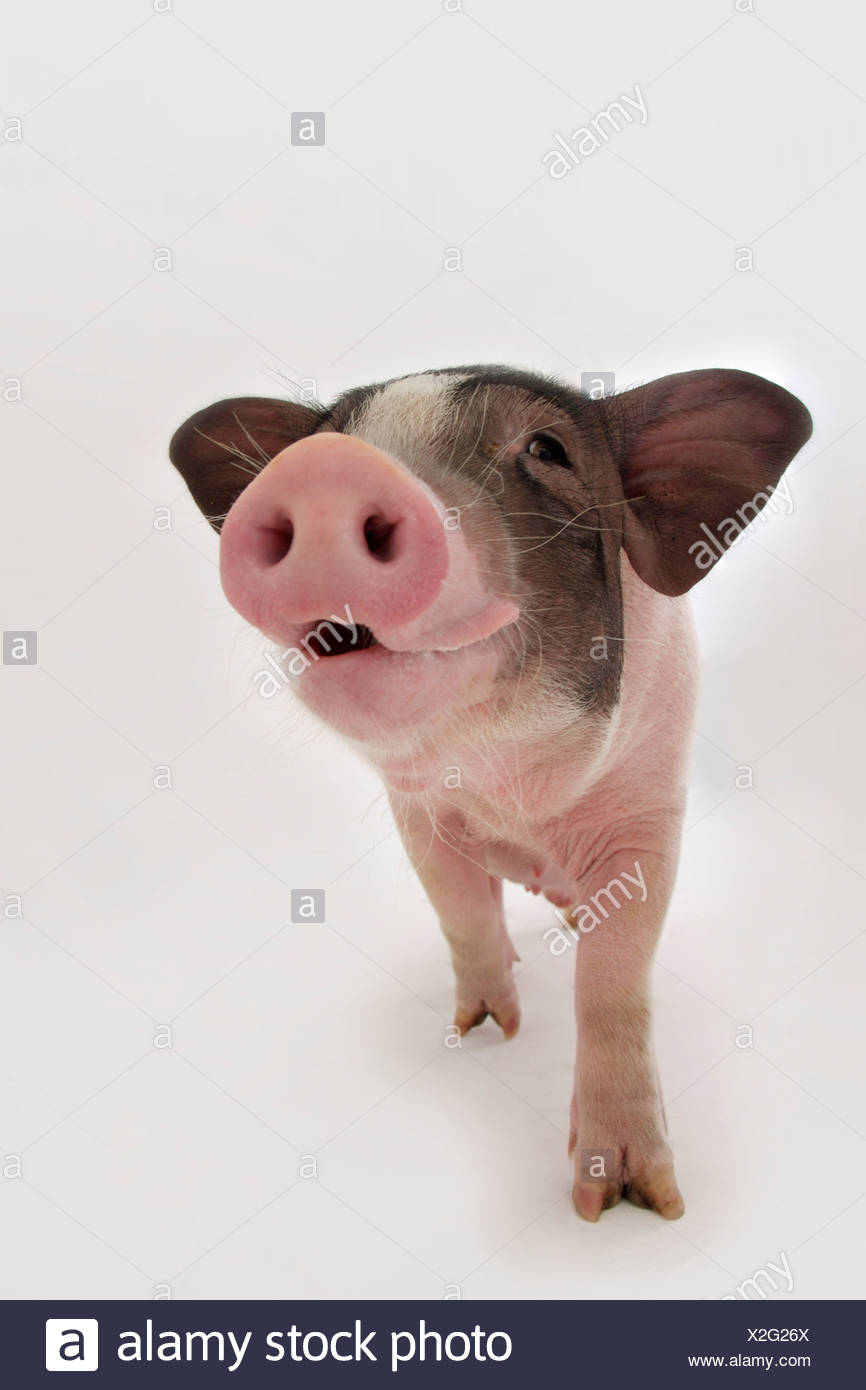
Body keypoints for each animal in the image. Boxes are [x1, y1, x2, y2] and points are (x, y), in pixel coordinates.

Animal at [170, 365, 811, 1221]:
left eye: (546, 449)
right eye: (328, 441)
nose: (325, 469)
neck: (516, 795)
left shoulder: (647, 820)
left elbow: (614, 979)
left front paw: (628, 1204)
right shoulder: (419, 820)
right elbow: (460, 913)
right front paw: (486, 1031)